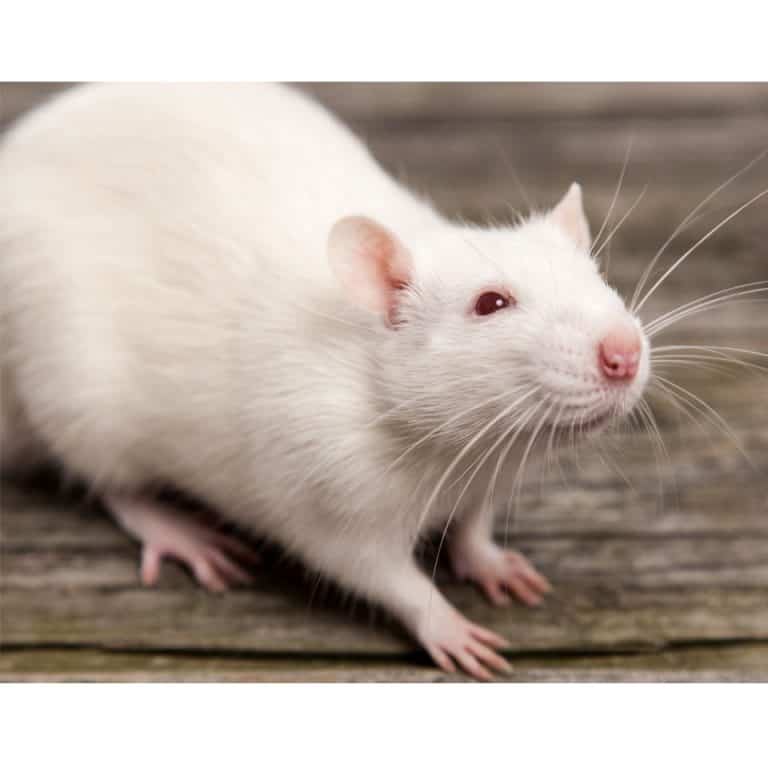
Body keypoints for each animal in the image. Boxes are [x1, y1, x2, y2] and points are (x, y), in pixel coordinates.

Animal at [0, 83, 650, 679]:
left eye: (597, 278)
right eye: (491, 303)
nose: (624, 353)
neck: (457, 453)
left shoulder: (485, 476)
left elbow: (470, 526)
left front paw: (489, 560)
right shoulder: (327, 482)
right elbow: (367, 568)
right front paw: (446, 623)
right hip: (76, 393)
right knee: (110, 483)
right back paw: (176, 530)